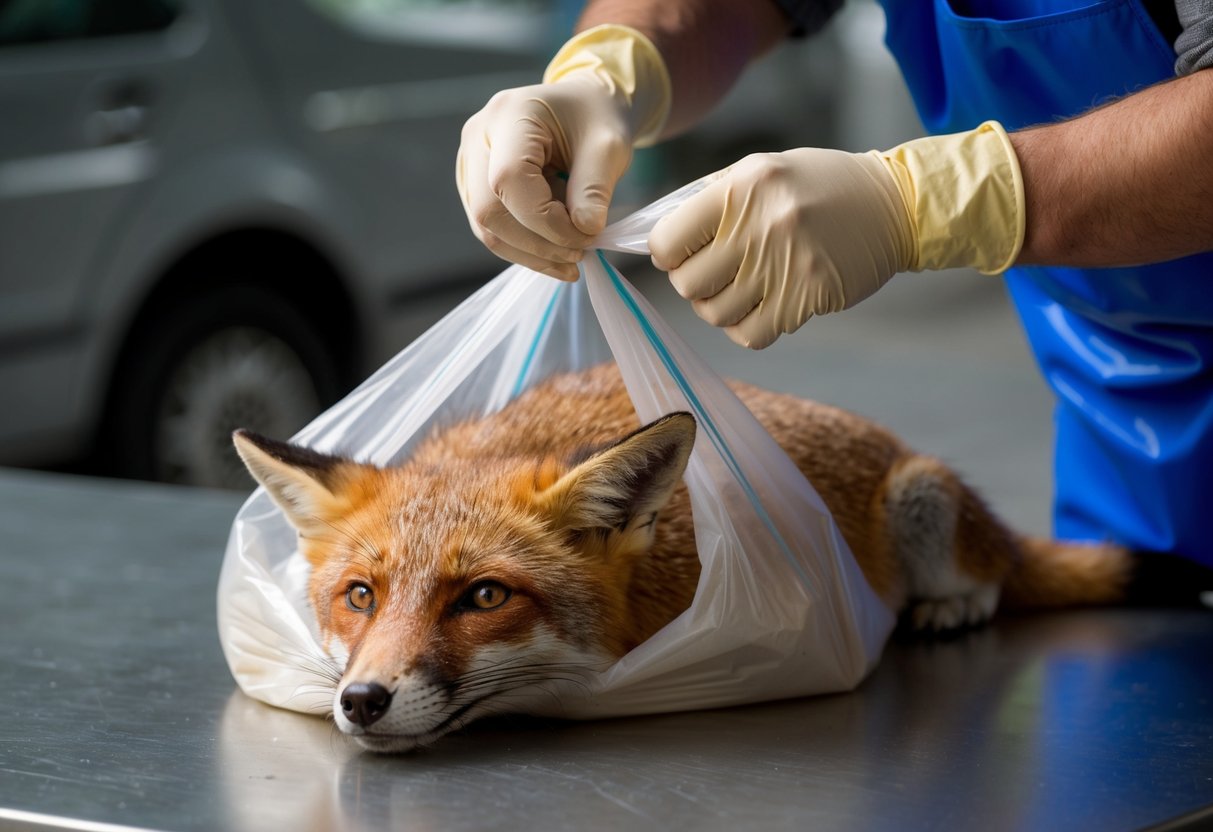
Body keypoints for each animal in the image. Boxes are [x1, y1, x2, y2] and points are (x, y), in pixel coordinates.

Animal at [232, 362, 1191, 753]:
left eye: (484, 598)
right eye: (360, 595)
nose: (361, 701)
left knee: (995, 571)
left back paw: (950, 604)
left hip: (923, 503)